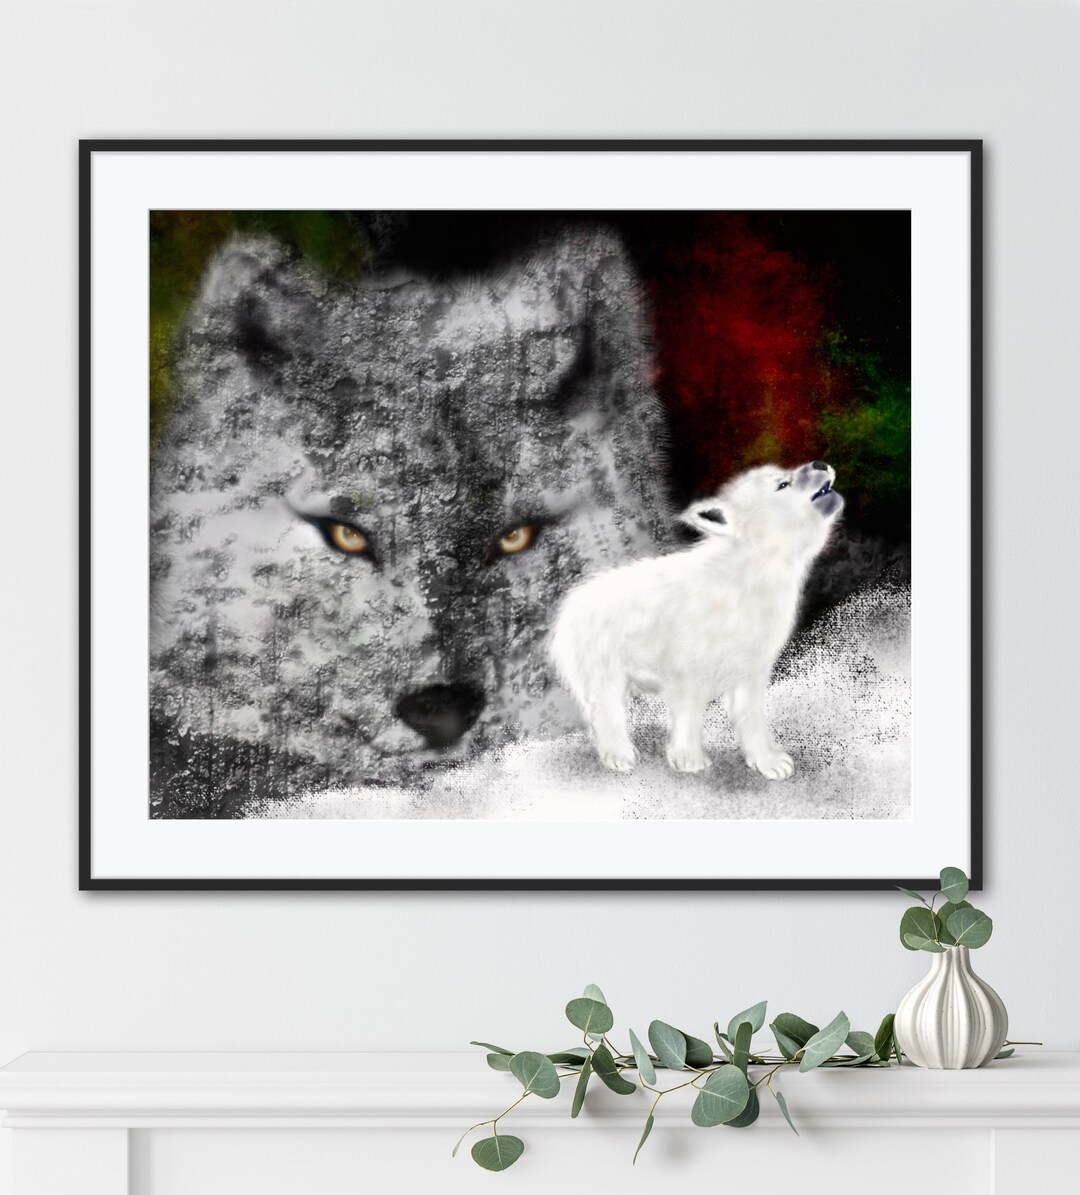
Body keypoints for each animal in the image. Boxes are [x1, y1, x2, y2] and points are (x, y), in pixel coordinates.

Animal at [550, 462, 843, 778]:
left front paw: (769, 762)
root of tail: (569, 605)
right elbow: (688, 711)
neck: (750, 575)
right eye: (782, 485)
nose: (820, 464)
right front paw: (689, 759)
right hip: (601, 661)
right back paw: (620, 756)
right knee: (605, 706)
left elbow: (751, 714)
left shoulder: (750, 666)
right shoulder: (687, 662)